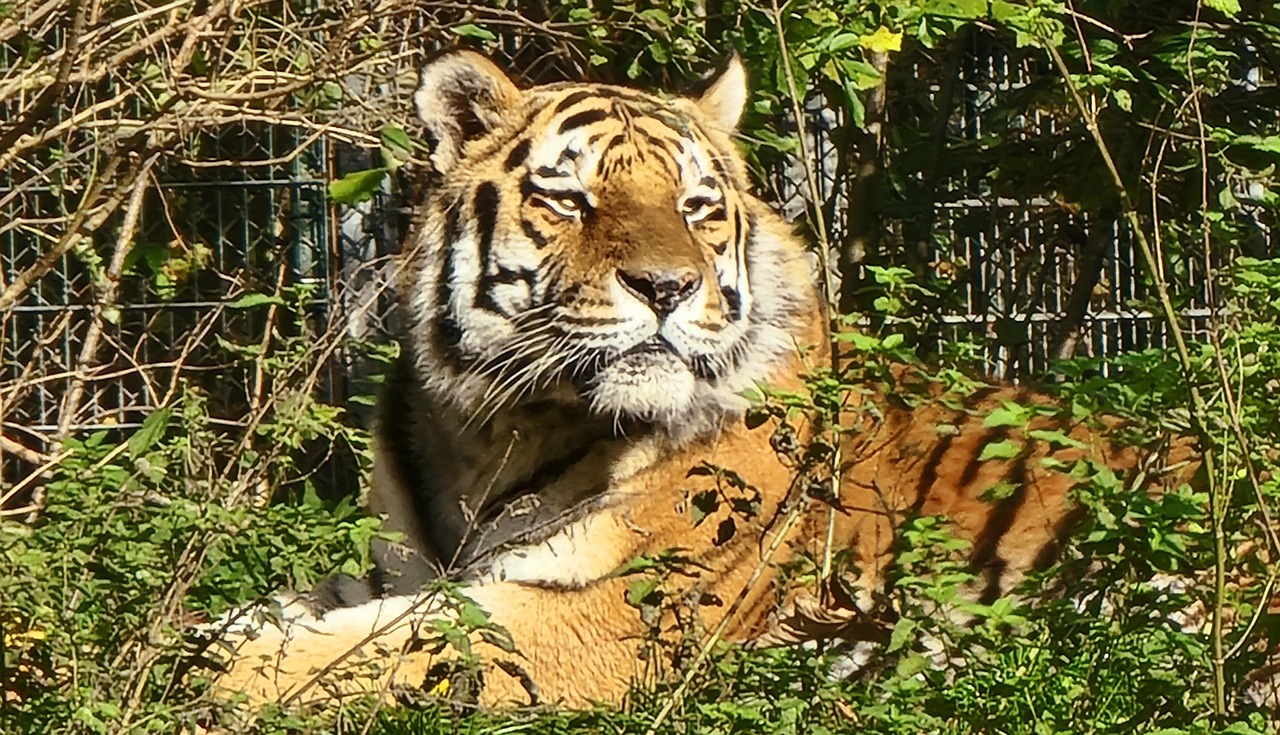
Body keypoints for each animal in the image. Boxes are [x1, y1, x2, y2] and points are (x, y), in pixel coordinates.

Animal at [212, 49, 1214, 710]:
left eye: (696, 206)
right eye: (569, 198)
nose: (667, 285)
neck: (491, 430)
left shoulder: (592, 614)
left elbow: (352, 657)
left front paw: (201, 666)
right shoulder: (397, 568)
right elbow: (306, 615)